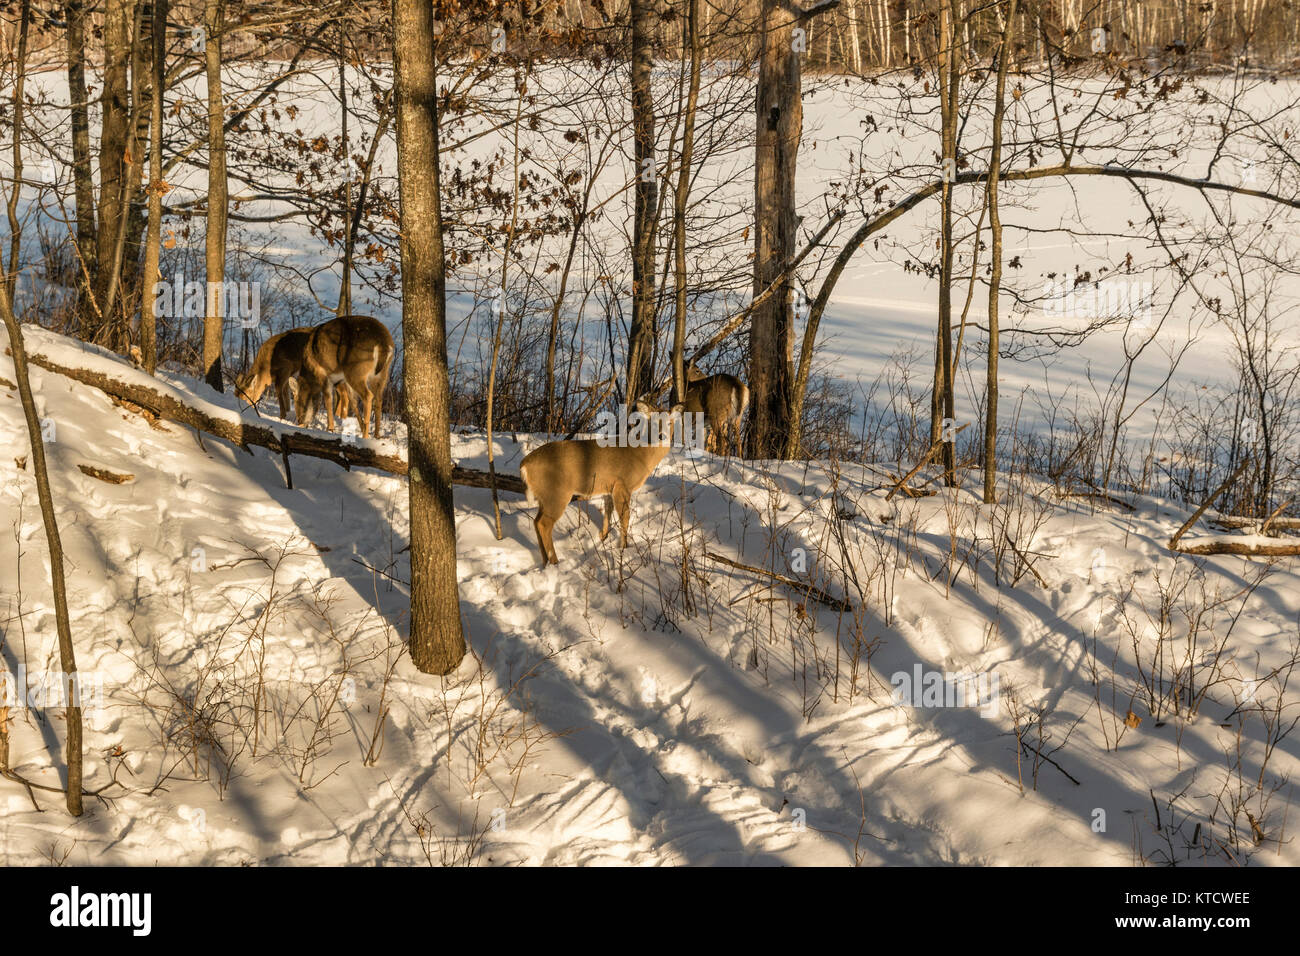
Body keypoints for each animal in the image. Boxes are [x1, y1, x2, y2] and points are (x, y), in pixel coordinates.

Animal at [518, 400, 683, 566]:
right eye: (653, 422)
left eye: (669, 422)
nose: (662, 436)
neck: (642, 455)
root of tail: (524, 464)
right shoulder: (622, 484)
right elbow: (624, 517)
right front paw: (624, 547)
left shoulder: (608, 487)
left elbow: (608, 512)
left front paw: (603, 537)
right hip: (556, 493)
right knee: (544, 524)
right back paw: (555, 562)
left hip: (545, 496)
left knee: (536, 522)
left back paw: (545, 562)